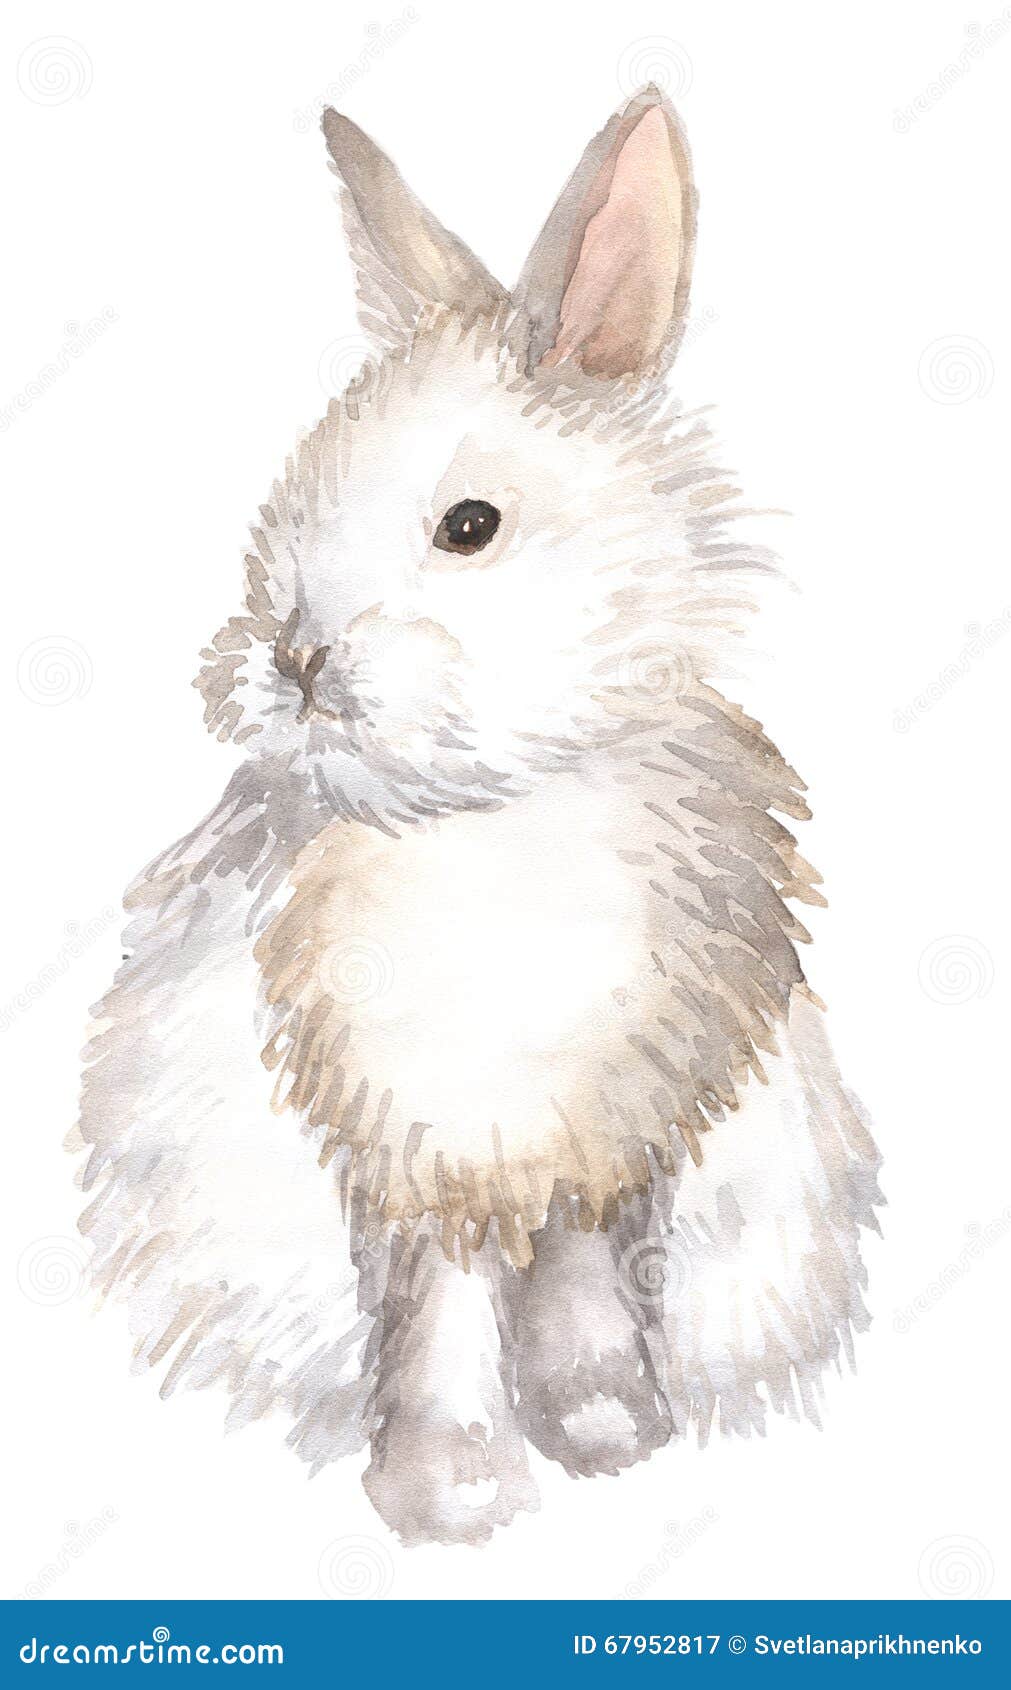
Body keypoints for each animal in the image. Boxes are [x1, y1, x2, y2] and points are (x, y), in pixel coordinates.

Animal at [74, 86, 883, 1548]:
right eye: (286, 509)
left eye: (468, 525)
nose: (295, 662)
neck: (500, 808)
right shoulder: (414, 1143)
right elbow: (443, 1305)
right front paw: (453, 1492)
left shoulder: (600, 1134)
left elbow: (571, 1273)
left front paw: (607, 1427)